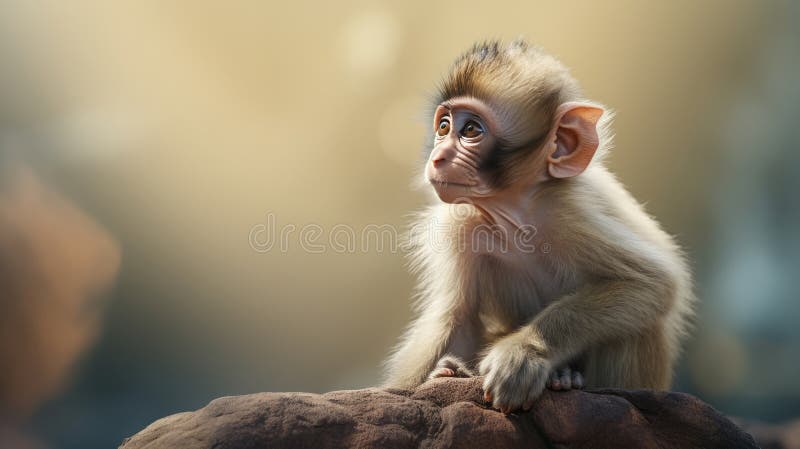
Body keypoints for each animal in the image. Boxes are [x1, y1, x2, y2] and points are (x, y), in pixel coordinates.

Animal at [383, 40, 694, 414]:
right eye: (443, 126)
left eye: (470, 130)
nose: (438, 156)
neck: (515, 213)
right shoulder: (460, 225)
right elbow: (456, 315)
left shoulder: (569, 213)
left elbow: (652, 283)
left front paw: (524, 352)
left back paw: (566, 378)